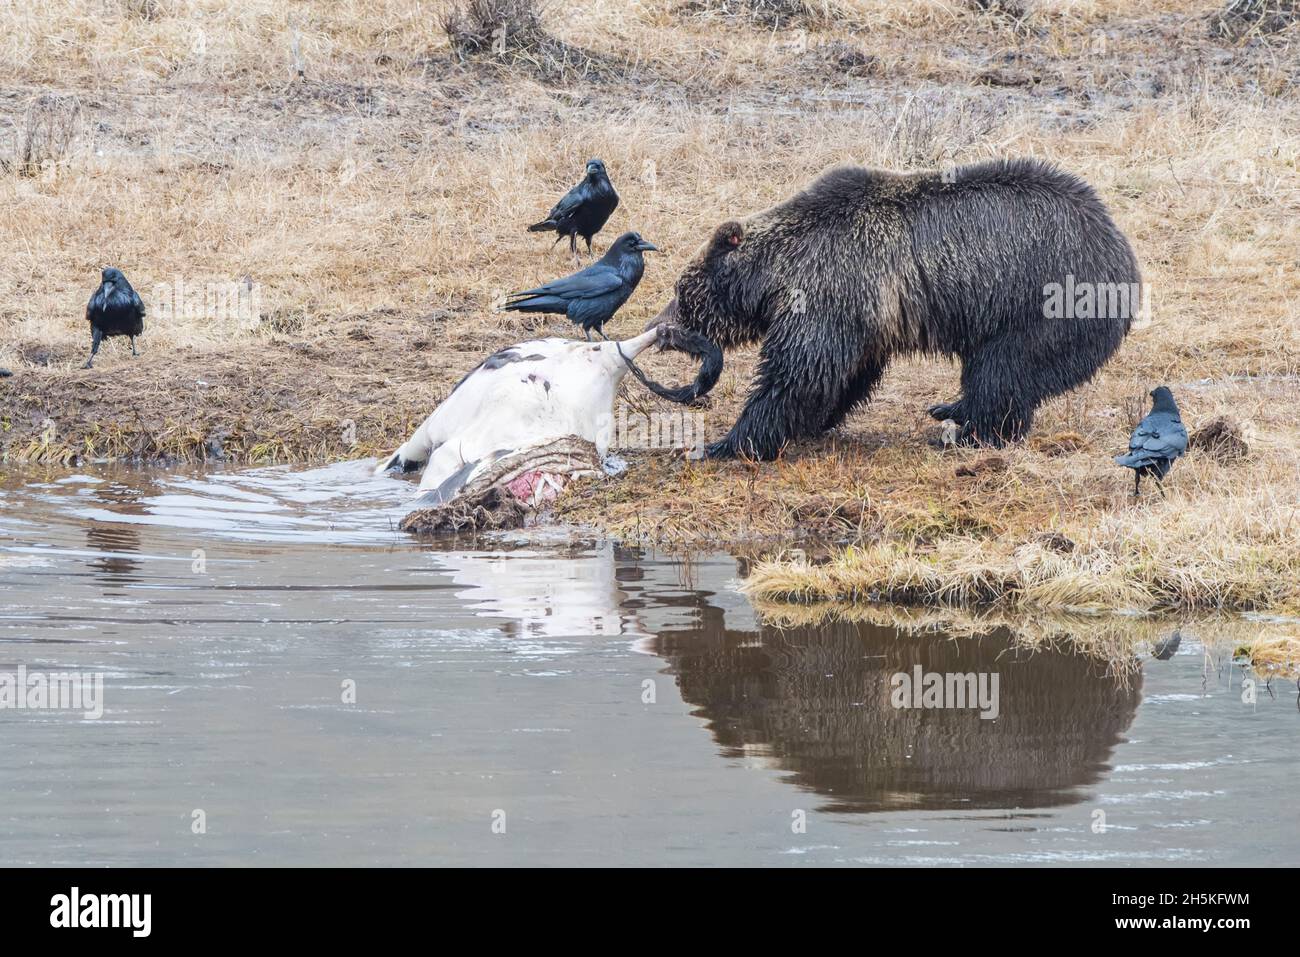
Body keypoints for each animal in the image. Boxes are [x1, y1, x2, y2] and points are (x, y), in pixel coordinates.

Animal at [652, 159, 1142, 460]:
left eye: (681, 290)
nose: (659, 325)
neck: (777, 272)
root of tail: (1123, 255)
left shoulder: (831, 288)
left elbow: (797, 373)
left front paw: (725, 443)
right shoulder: (863, 315)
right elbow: (841, 374)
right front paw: (812, 421)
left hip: (1041, 304)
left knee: (1003, 369)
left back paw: (968, 432)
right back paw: (950, 408)